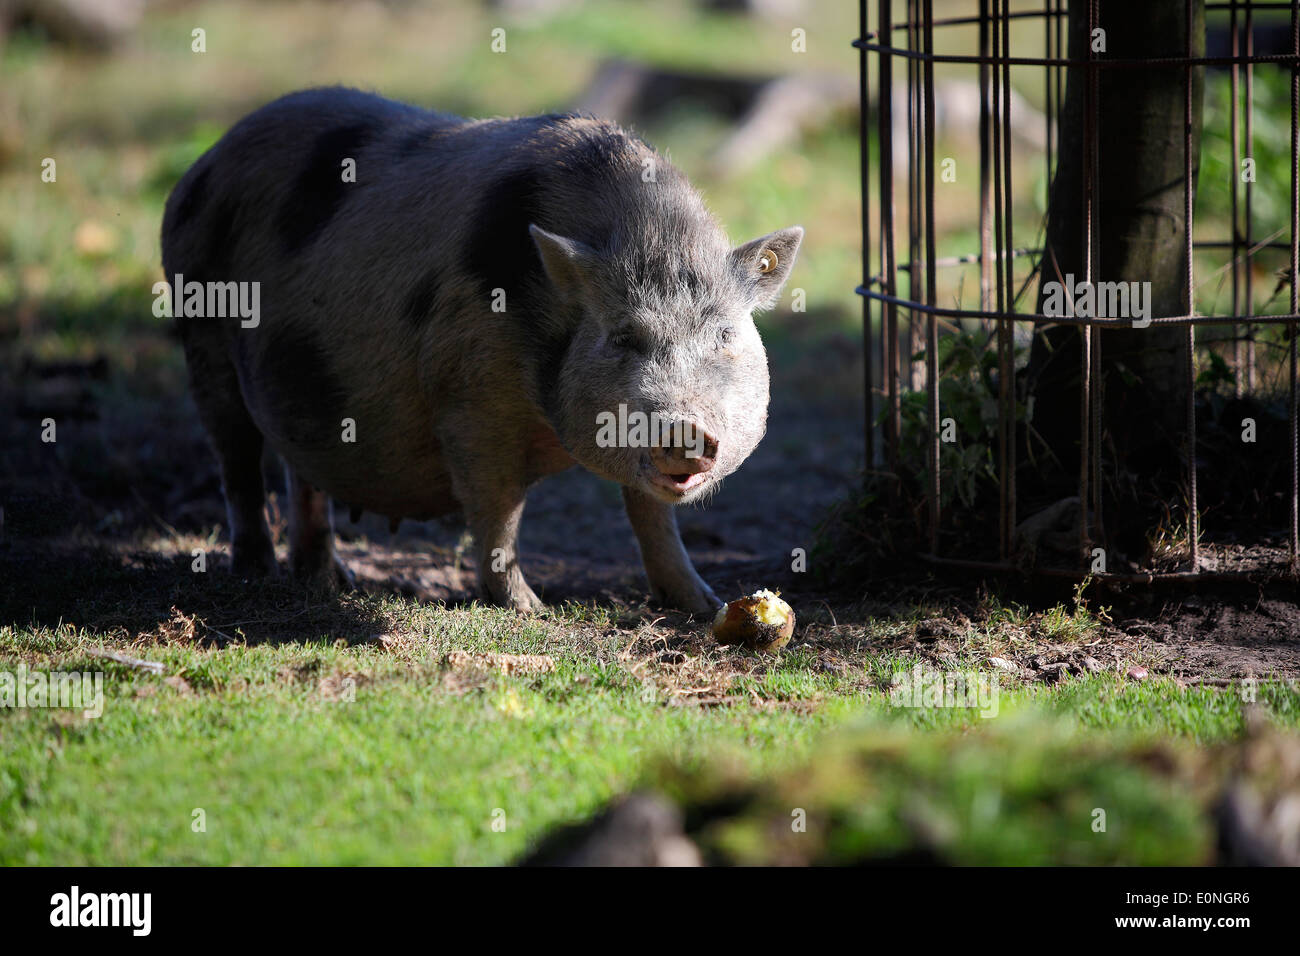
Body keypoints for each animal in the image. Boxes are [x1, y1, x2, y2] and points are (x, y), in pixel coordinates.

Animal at [161, 86, 802, 614]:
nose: (686, 427)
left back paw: (329, 581)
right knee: (238, 460)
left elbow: (651, 514)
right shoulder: (468, 400)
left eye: (724, 336)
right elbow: (497, 510)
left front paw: (704, 605)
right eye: (623, 337)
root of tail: (202, 164)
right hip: (201, 330)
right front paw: (531, 611)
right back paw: (257, 575)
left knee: (301, 469)